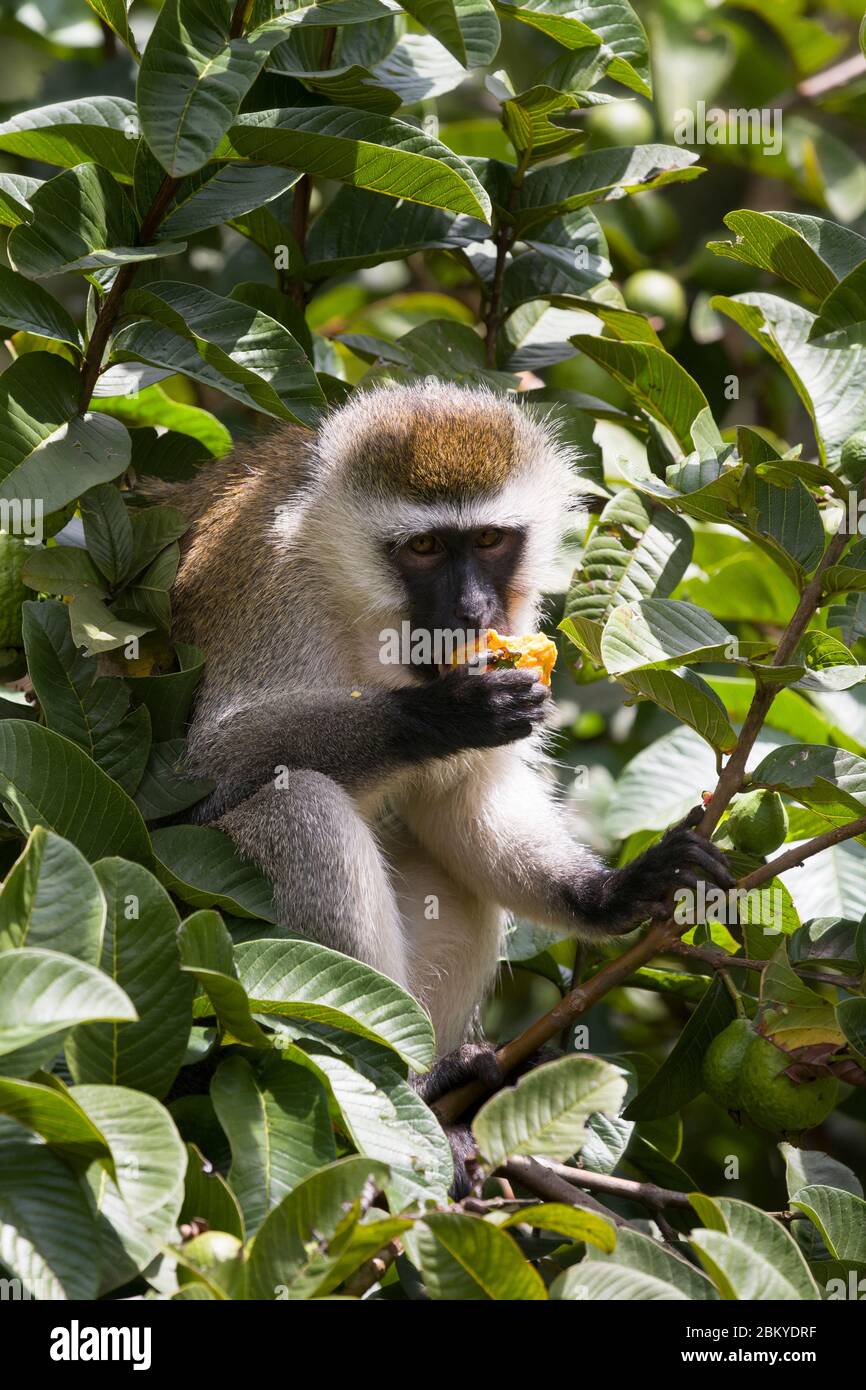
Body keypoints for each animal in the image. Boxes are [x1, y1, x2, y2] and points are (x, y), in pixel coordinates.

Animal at [155, 382, 732, 1178]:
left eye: (488, 540)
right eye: (424, 547)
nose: (471, 612)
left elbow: (461, 802)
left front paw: (614, 892)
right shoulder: (275, 587)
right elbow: (207, 766)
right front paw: (443, 714)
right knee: (297, 804)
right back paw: (411, 1084)